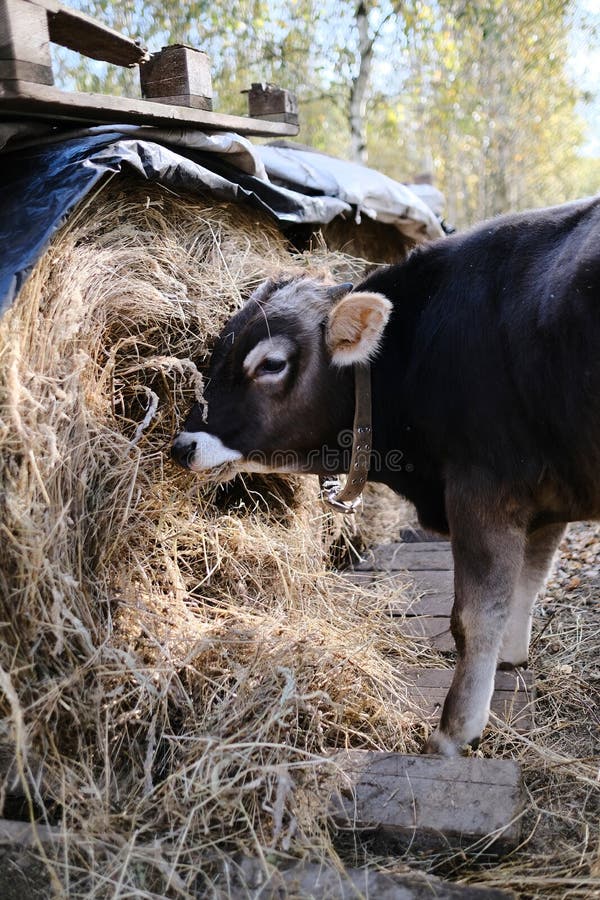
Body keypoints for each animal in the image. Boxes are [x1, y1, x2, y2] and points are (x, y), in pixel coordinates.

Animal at [171, 196, 600, 756]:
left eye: (271, 364)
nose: (183, 446)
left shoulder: (484, 488)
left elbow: (475, 615)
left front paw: (454, 732)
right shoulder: (550, 496)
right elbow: (528, 583)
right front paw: (508, 660)